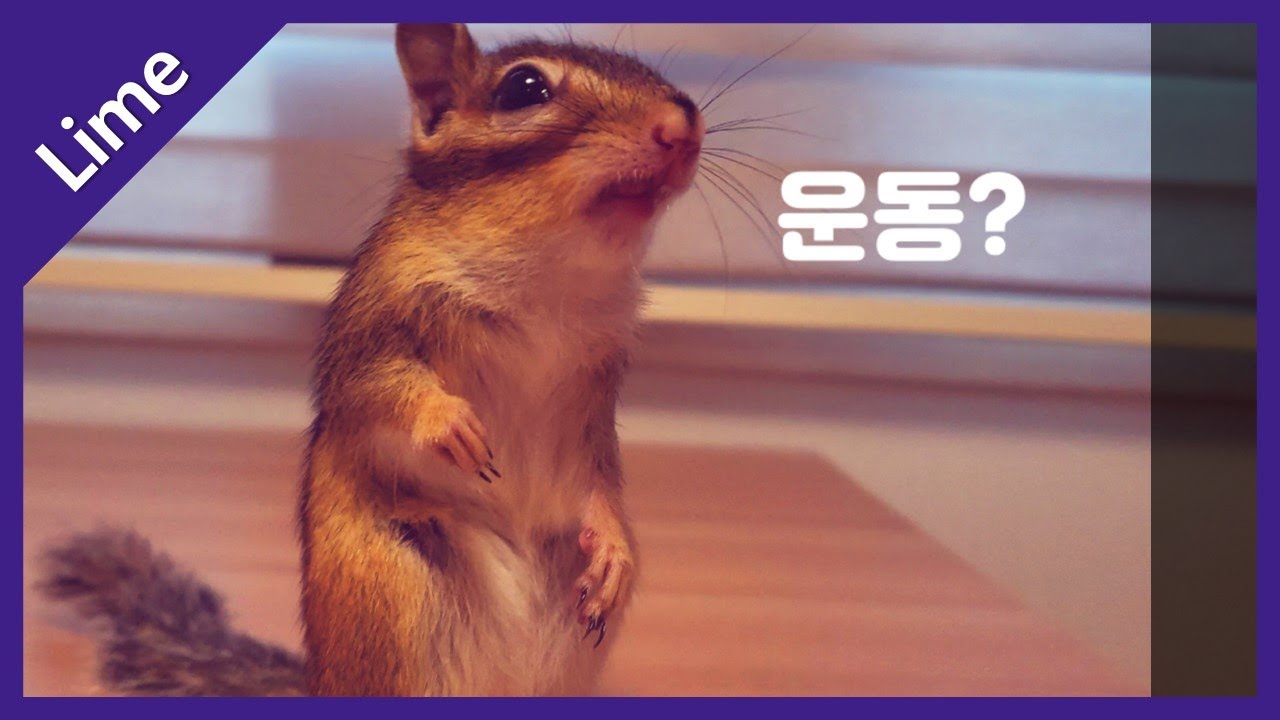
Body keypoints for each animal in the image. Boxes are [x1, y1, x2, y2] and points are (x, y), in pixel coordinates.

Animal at [37, 23, 704, 696]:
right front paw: (447, 422)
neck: (554, 285)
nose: (680, 125)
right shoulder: (365, 329)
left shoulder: (599, 394)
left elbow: (603, 476)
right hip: (396, 597)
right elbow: (375, 387)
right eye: (523, 88)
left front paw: (616, 550)